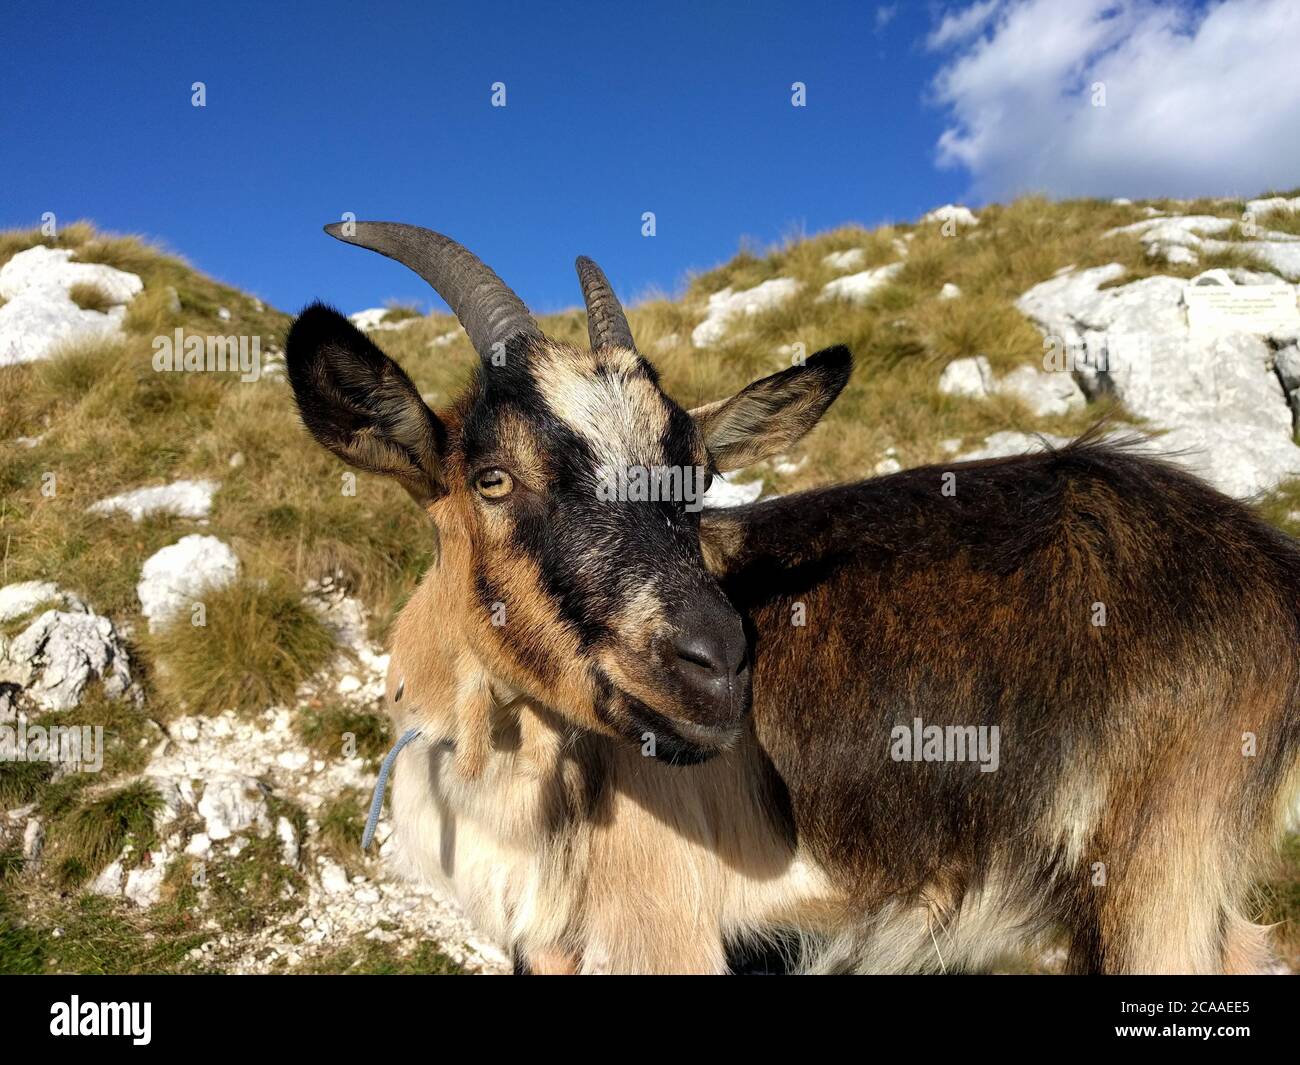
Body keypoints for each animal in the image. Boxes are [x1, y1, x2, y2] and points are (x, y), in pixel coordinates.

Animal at [286, 222, 1300, 974]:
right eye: (491, 478)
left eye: (695, 478)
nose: (719, 665)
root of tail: (1273, 567)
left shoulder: (664, 925)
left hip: (1160, 864)